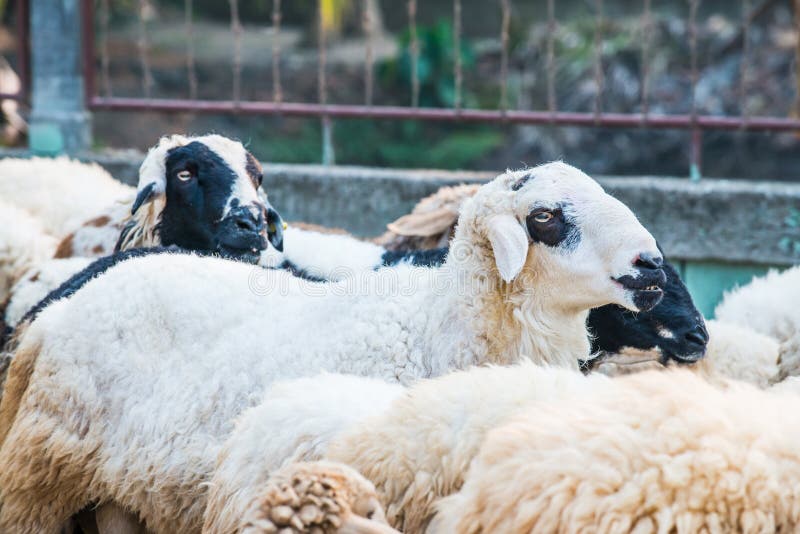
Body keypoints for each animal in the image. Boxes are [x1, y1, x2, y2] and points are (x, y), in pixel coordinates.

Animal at [0, 162, 666, 532]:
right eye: (546, 216)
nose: (652, 264)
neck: (437, 325)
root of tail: (53, 316)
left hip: (124, 497)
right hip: (40, 476)